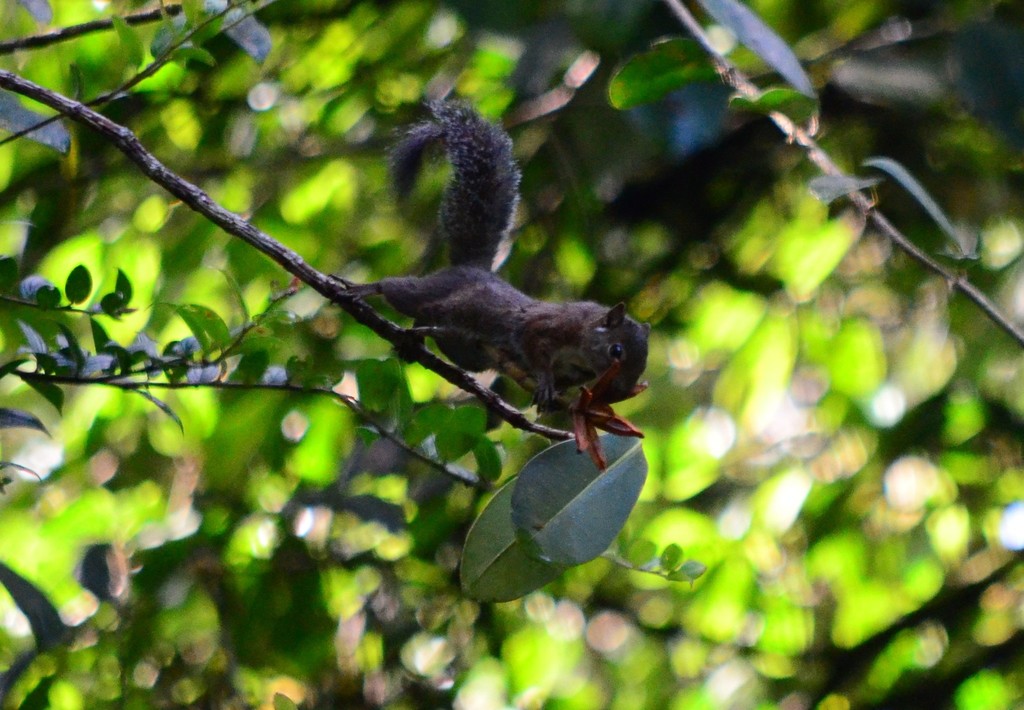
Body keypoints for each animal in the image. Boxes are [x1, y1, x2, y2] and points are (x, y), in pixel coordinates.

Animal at [348, 101, 649, 411]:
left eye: (643, 365)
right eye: (616, 350)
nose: (620, 392)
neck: (582, 343)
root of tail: (473, 267)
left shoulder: (575, 372)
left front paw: (557, 397)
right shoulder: (545, 327)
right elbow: (533, 348)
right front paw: (545, 382)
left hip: (468, 353)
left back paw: (414, 341)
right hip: (431, 292)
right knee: (398, 289)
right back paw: (362, 289)